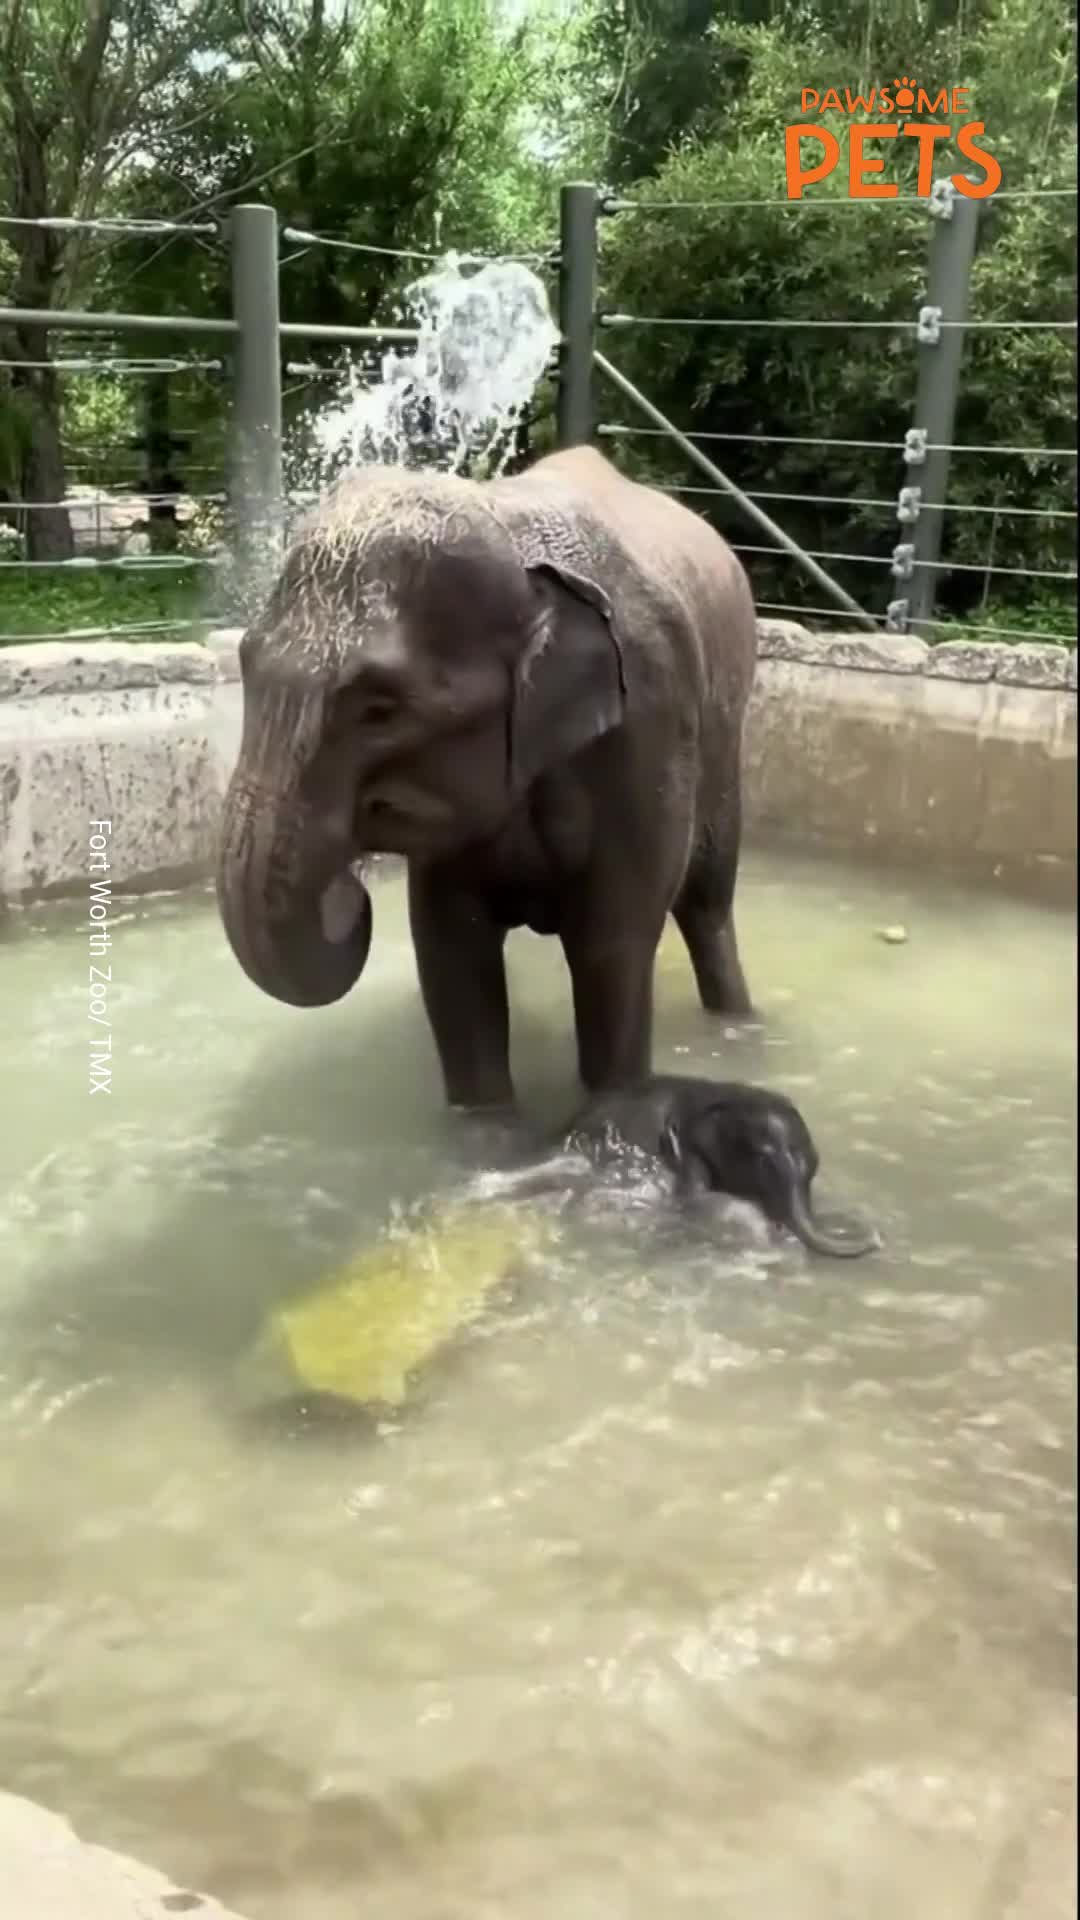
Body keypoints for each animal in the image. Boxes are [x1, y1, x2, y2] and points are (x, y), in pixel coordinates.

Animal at [216, 445, 757, 1111]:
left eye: (380, 709)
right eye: (244, 663)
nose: (350, 897)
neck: (511, 529)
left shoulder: (650, 721)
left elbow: (613, 943)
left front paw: (612, 1105)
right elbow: (451, 949)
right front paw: (485, 1126)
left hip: (724, 735)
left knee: (708, 901)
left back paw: (738, 1023)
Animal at [469, 1075, 880, 1260]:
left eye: (816, 1165)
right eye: (764, 1159)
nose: (874, 1236)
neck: (718, 1094)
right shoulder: (687, 1154)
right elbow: (695, 1198)